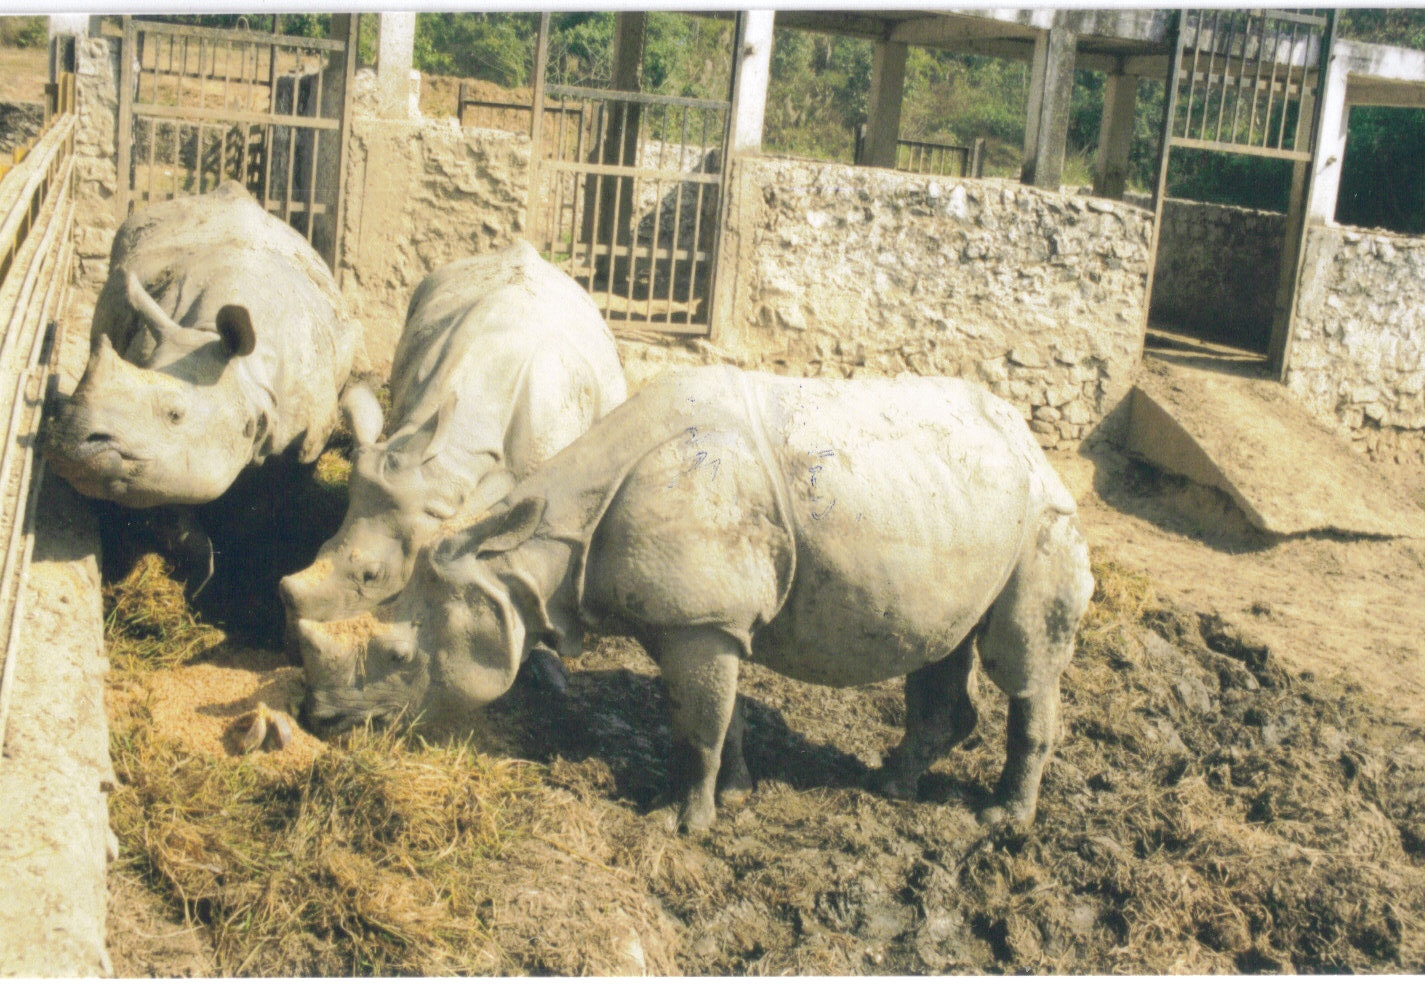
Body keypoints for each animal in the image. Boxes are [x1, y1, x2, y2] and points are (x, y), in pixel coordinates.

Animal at [299, 366, 1094, 832]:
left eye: (399, 655)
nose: (319, 719)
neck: (523, 559)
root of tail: (1032, 442)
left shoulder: (702, 621)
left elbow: (697, 728)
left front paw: (681, 825)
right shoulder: (702, 620)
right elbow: (723, 716)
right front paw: (737, 796)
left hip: (1042, 517)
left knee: (1021, 665)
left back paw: (1001, 822)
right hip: (957, 503)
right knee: (940, 649)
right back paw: (890, 786)